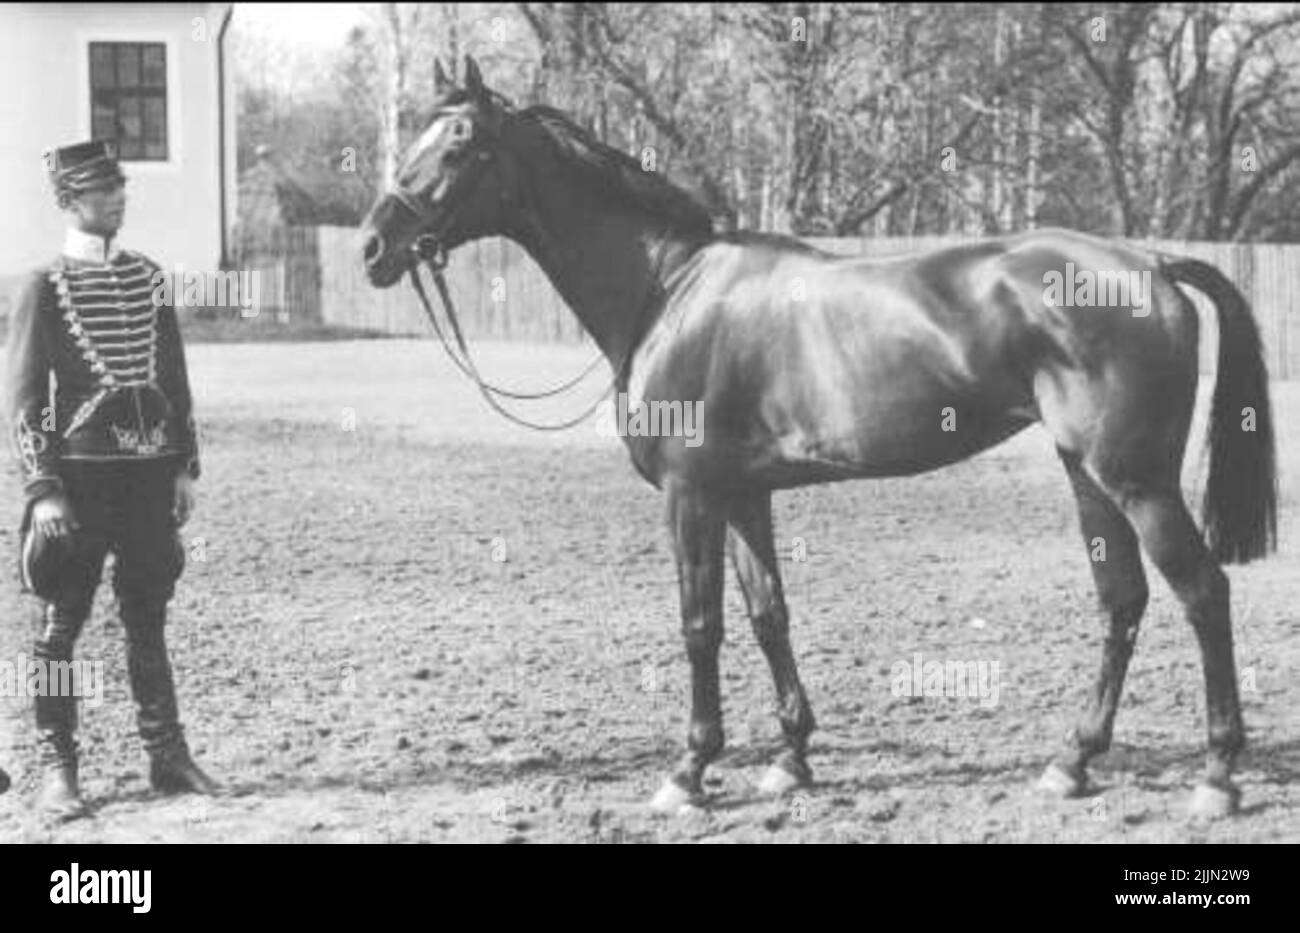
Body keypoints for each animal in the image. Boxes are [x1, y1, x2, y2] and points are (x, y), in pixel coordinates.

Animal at [360, 57, 1276, 819]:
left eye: (461, 144)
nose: (376, 244)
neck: (670, 289)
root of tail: (1151, 263)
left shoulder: (691, 496)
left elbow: (700, 624)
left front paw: (690, 771)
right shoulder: (743, 495)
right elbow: (769, 614)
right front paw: (791, 758)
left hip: (1138, 481)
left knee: (1202, 592)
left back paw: (1217, 775)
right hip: (1087, 474)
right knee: (1122, 600)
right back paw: (1073, 761)